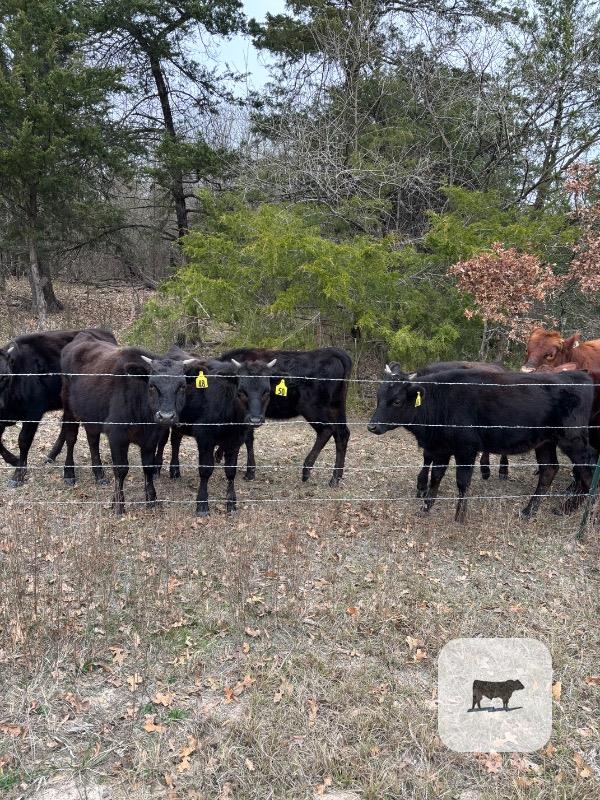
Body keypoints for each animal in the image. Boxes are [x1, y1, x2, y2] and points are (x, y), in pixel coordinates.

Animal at [0, 328, 115, 486]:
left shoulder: (33, 413)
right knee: (66, 428)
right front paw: (13, 460)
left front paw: (18, 474)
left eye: (5, 376)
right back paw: (51, 455)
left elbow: (23, 440)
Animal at [60, 332, 200, 514]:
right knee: (70, 438)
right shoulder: (117, 436)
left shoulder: (151, 439)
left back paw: (99, 474)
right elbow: (121, 469)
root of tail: (83, 336)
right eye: (152, 385)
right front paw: (118, 504)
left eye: (182, 386)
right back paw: (69, 473)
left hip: (91, 413)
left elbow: (148, 467)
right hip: (69, 409)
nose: (166, 416)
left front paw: (152, 499)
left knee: (92, 440)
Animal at [157, 347, 276, 515]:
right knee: (162, 441)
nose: (255, 420)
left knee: (175, 441)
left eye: (266, 392)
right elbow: (205, 470)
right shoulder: (205, 437)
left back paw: (175, 471)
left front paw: (231, 503)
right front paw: (202, 504)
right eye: (241, 391)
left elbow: (231, 471)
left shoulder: (235, 440)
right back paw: (156, 470)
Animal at [217, 347, 352, 487]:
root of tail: (331, 352)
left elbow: (246, 439)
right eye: (242, 391)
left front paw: (249, 472)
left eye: (266, 390)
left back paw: (307, 470)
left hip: (312, 409)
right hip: (336, 407)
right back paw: (335, 477)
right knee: (342, 434)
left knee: (327, 430)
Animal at [367, 364, 595, 521]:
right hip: (545, 441)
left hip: (573, 439)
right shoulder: (440, 448)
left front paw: (459, 516)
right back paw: (528, 511)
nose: (372, 426)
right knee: (549, 470)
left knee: (588, 468)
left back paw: (579, 511)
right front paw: (426, 507)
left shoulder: (466, 448)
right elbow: (436, 477)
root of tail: (578, 376)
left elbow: (462, 481)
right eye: (379, 397)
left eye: (397, 401)